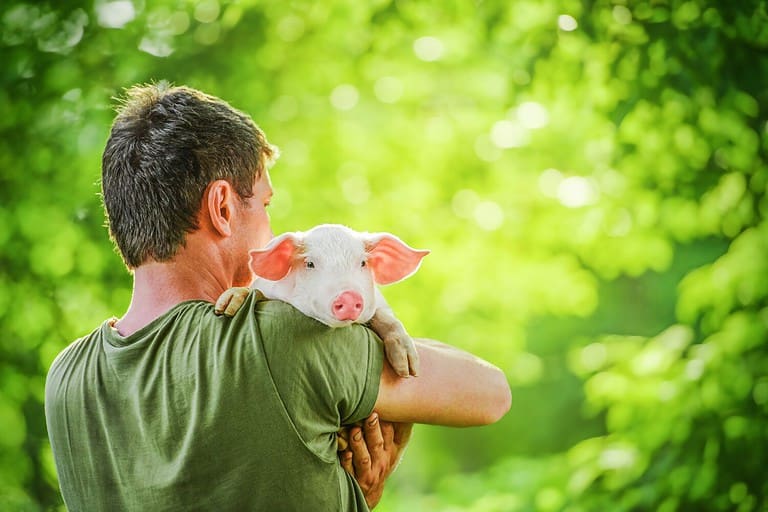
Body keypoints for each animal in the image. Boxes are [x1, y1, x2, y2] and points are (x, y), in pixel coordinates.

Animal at [214, 224, 430, 377]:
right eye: (310, 264)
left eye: (362, 263)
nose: (349, 295)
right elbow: (255, 292)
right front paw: (226, 307)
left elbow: (386, 318)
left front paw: (408, 370)